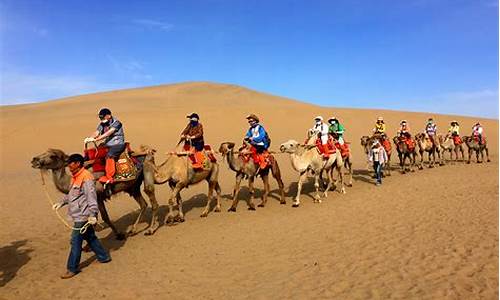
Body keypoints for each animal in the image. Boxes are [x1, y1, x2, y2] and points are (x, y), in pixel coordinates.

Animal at [30, 148, 158, 239]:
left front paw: (119, 235)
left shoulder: (98, 197)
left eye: (53, 156)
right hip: (133, 186)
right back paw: (133, 229)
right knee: (143, 204)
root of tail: (148, 153)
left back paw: (151, 229)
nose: (34, 160)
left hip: (147, 168)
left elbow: (104, 218)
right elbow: (92, 220)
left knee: (151, 197)